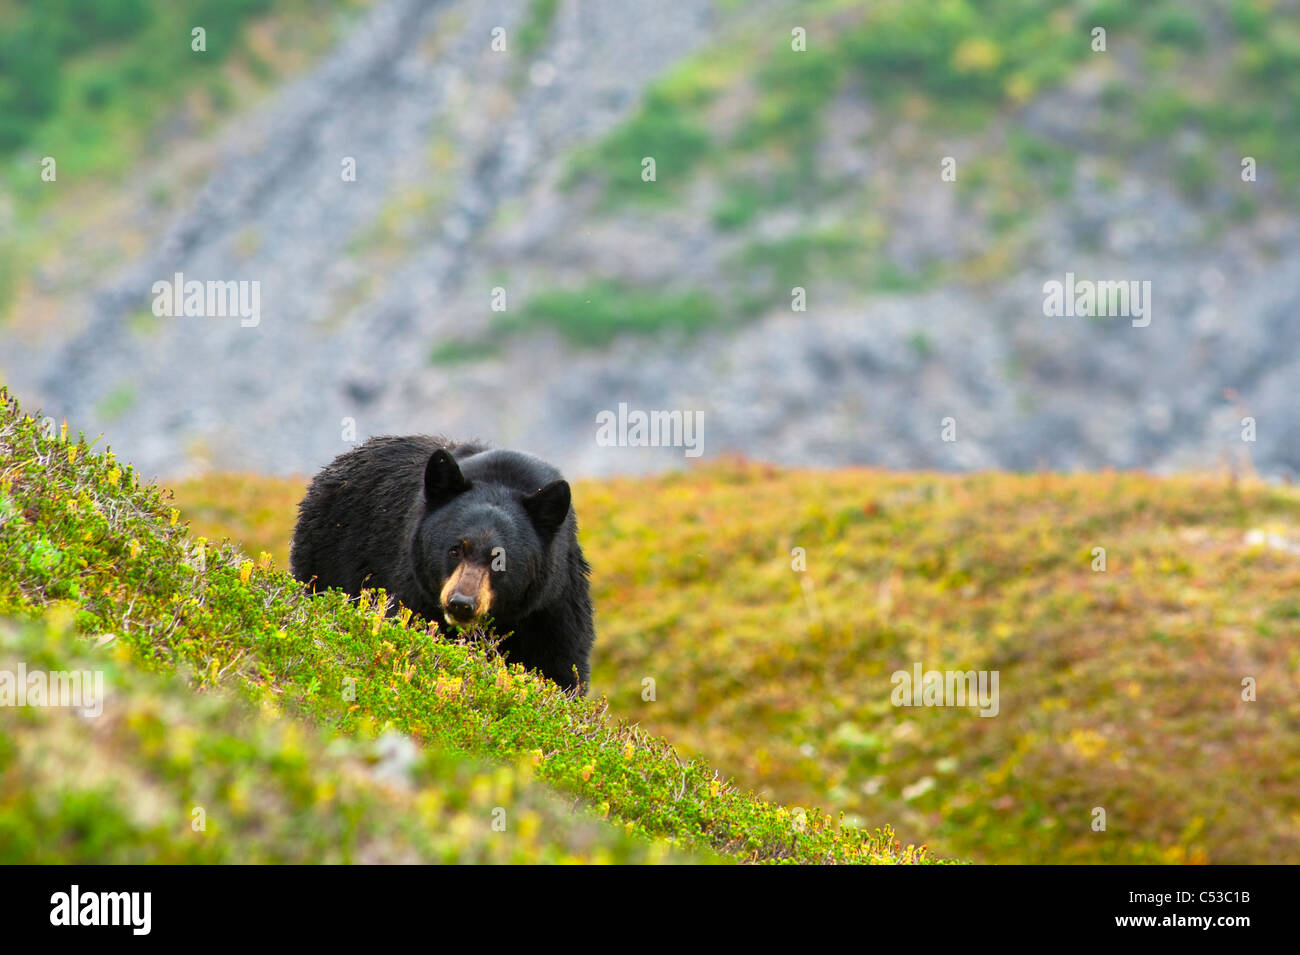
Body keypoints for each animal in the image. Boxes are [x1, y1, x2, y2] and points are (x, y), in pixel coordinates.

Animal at [289, 435, 595, 694]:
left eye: (499, 560)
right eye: (455, 549)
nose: (462, 603)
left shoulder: (551, 607)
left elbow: (560, 670)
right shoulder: (413, 587)